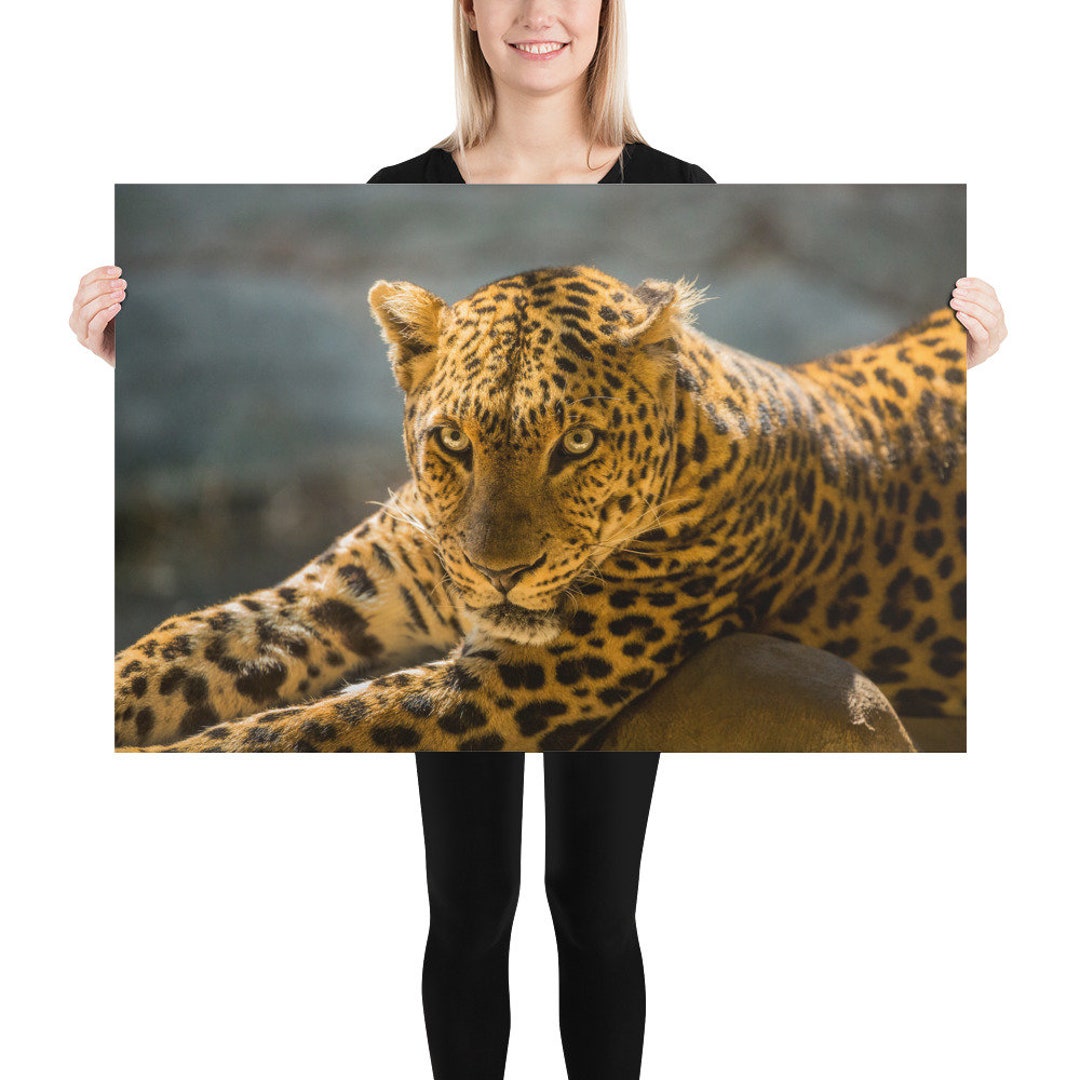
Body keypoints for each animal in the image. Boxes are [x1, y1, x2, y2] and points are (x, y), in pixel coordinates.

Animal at [114, 265, 966, 752]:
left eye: (578, 443)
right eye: (453, 440)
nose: (502, 573)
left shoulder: (517, 681)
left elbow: (298, 729)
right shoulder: (344, 592)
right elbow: (175, 648)